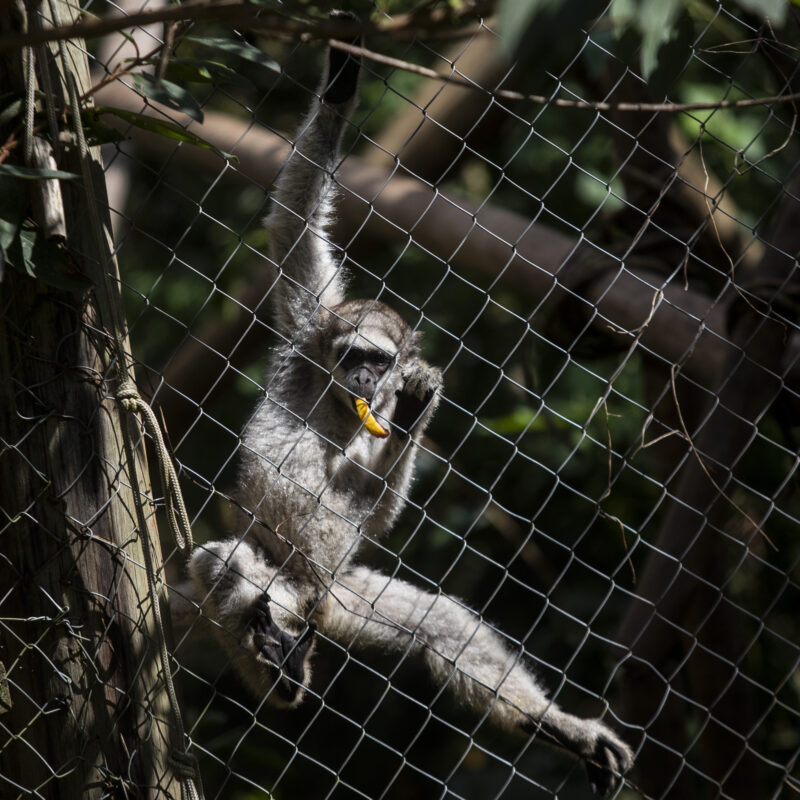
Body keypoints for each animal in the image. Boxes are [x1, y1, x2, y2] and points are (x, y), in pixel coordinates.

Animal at [174, 18, 633, 797]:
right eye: (351, 353)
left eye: (380, 360)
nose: (364, 373)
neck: (338, 399)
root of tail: (311, 600)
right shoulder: (307, 331)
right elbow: (295, 221)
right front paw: (340, 81)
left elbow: (381, 507)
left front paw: (417, 410)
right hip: (285, 577)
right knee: (222, 562)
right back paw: (274, 658)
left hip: (342, 596)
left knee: (441, 627)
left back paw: (551, 727)